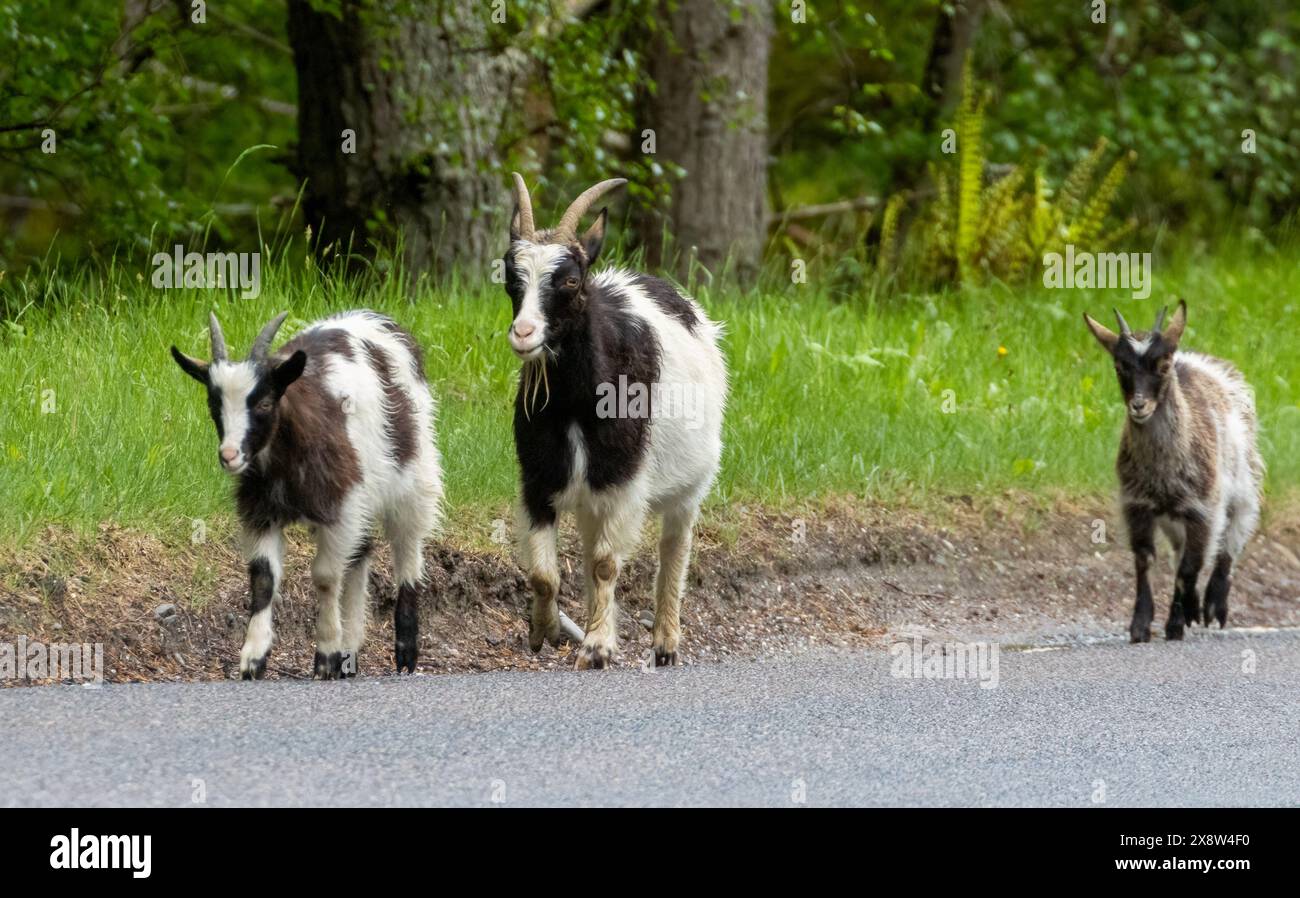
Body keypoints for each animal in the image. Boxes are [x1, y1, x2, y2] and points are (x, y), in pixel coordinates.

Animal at [171, 311, 443, 678]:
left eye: (265, 402)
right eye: (214, 403)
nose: (229, 456)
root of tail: (378, 319)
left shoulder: (340, 505)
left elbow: (325, 577)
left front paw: (325, 657)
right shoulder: (262, 512)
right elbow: (263, 578)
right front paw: (253, 659)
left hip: (415, 476)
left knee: (408, 549)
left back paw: (405, 651)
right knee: (361, 553)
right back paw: (351, 653)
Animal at [503, 173, 728, 668]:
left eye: (570, 280)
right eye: (511, 278)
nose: (524, 333)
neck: (575, 404)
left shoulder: (625, 480)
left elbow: (607, 564)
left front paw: (598, 648)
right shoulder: (536, 479)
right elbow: (546, 573)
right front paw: (545, 630)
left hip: (690, 483)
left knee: (674, 547)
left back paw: (665, 643)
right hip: (592, 498)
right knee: (591, 549)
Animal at [1084, 300, 1262, 642]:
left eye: (1163, 365)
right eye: (1120, 367)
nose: (1139, 406)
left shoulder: (1203, 509)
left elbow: (1190, 568)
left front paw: (1175, 625)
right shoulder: (1137, 505)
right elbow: (1147, 560)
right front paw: (1141, 626)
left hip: (1242, 482)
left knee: (1232, 537)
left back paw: (1214, 604)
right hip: (1173, 517)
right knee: (1183, 552)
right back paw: (1193, 606)